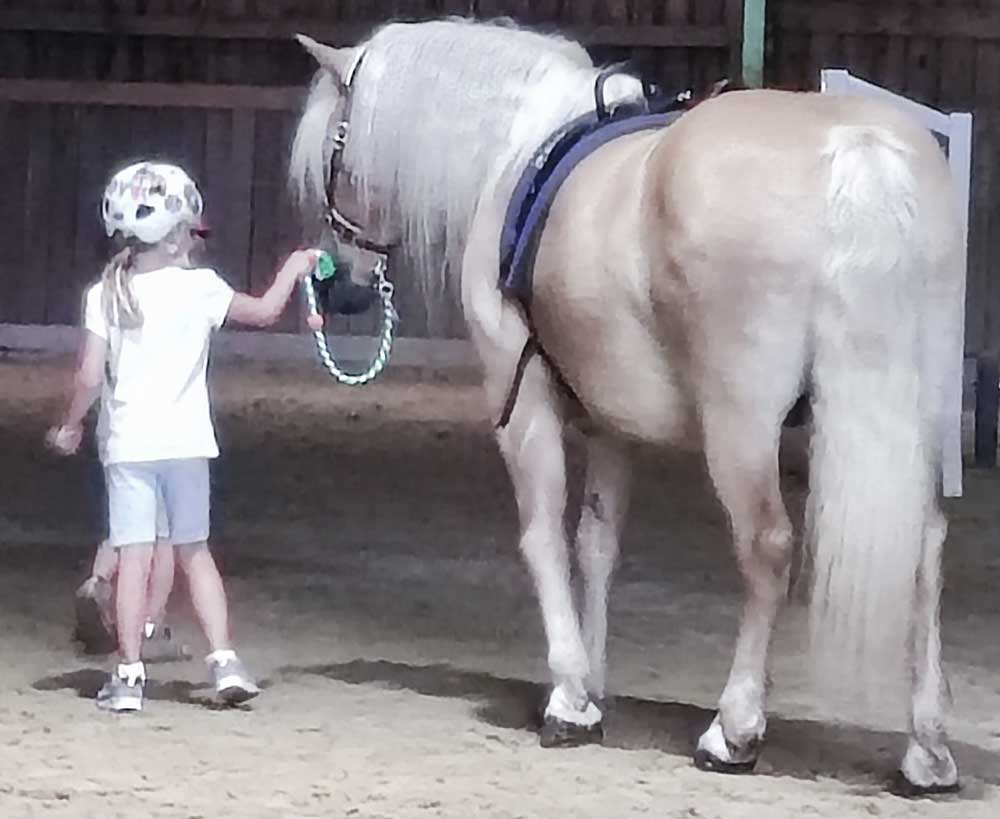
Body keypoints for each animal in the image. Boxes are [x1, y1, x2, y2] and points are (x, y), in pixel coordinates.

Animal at [288, 17, 963, 795]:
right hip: (914, 418)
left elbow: (543, 535)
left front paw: (569, 696)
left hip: (742, 429)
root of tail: (857, 150)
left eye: (334, 154)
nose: (343, 285)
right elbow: (598, 543)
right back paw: (926, 751)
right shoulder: (614, 420)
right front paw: (593, 683)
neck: (519, 145)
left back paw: (733, 730)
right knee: (926, 550)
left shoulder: (520, 395)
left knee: (766, 547)